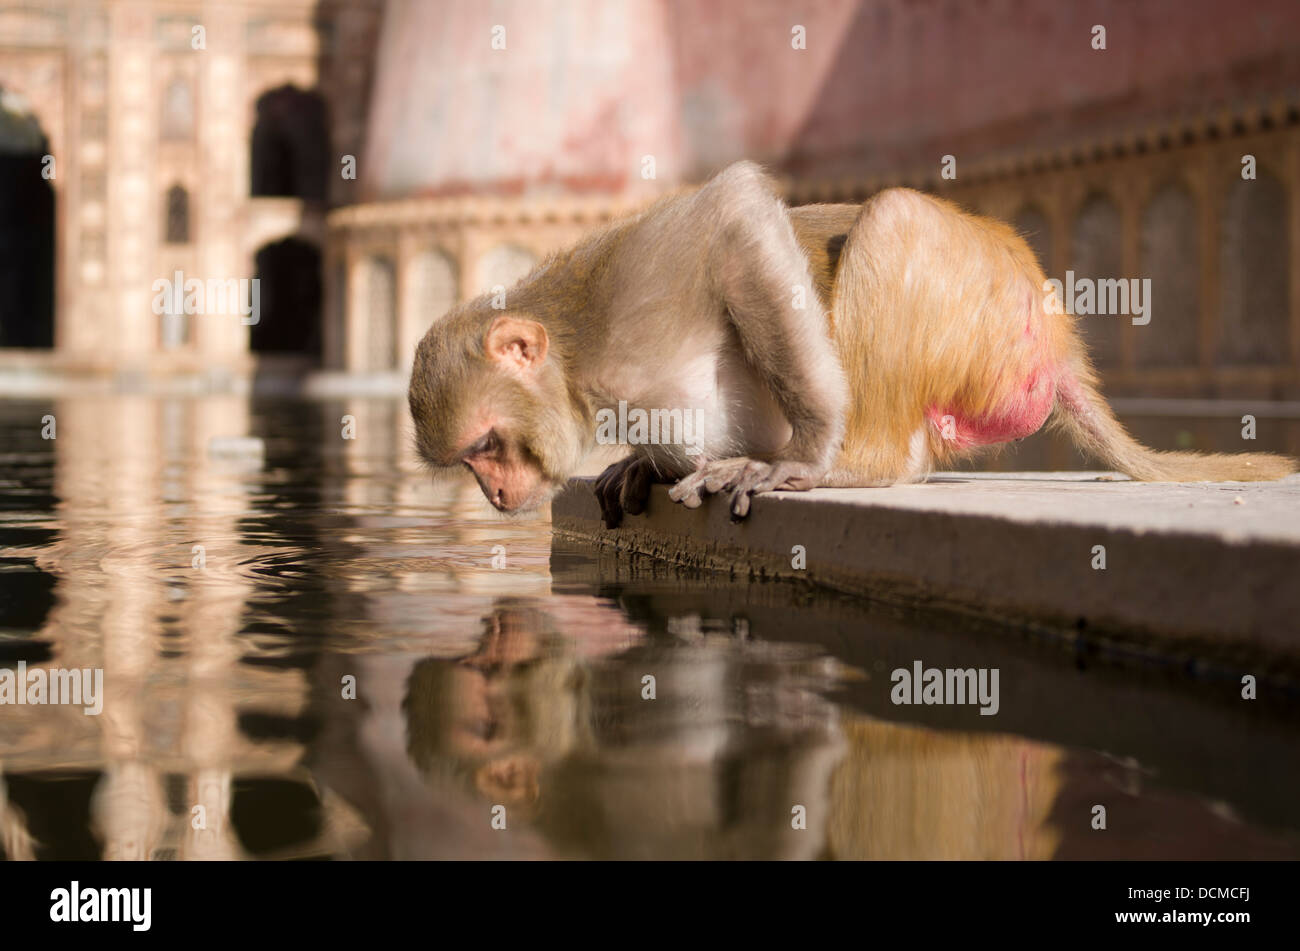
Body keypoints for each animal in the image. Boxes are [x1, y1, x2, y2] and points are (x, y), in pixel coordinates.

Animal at [408, 160, 1296, 528]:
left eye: (486, 446)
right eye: (469, 464)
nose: (494, 493)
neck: (578, 367)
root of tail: (1053, 329)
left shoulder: (636, 301)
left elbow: (735, 214)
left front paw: (804, 452)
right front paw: (639, 467)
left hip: (984, 302)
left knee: (892, 218)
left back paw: (855, 463)